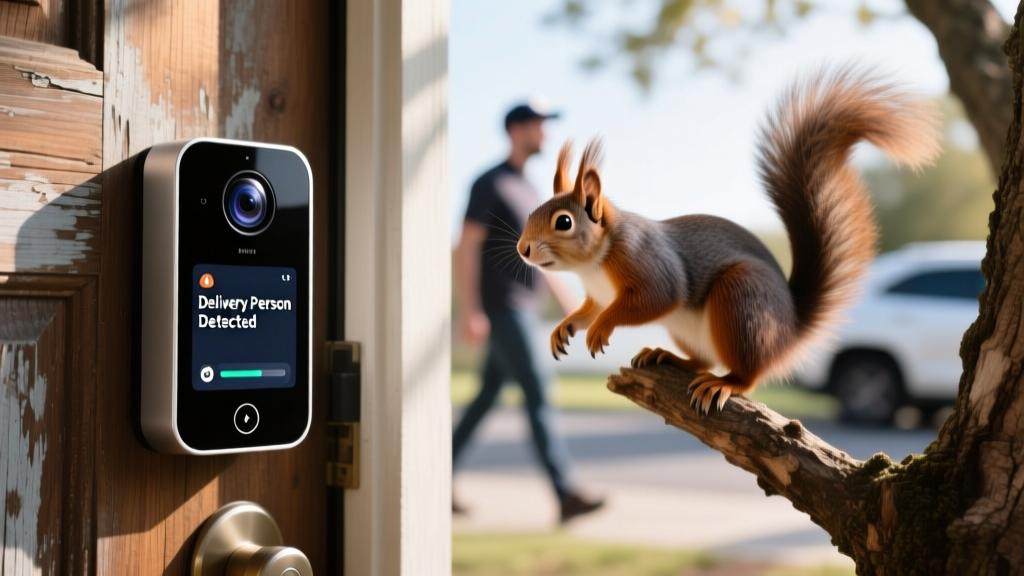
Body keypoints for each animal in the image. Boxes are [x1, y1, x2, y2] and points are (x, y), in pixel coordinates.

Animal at [515, 66, 941, 414]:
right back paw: (667, 357)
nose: (523, 249)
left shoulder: (646, 262)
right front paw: (565, 327)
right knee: (703, 360)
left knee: (747, 375)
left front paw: (601, 327)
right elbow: (588, 308)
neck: (593, 264)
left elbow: (655, 297)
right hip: (693, 328)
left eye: (564, 221)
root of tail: (789, 330)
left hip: (741, 303)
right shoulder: (598, 293)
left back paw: (723, 385)